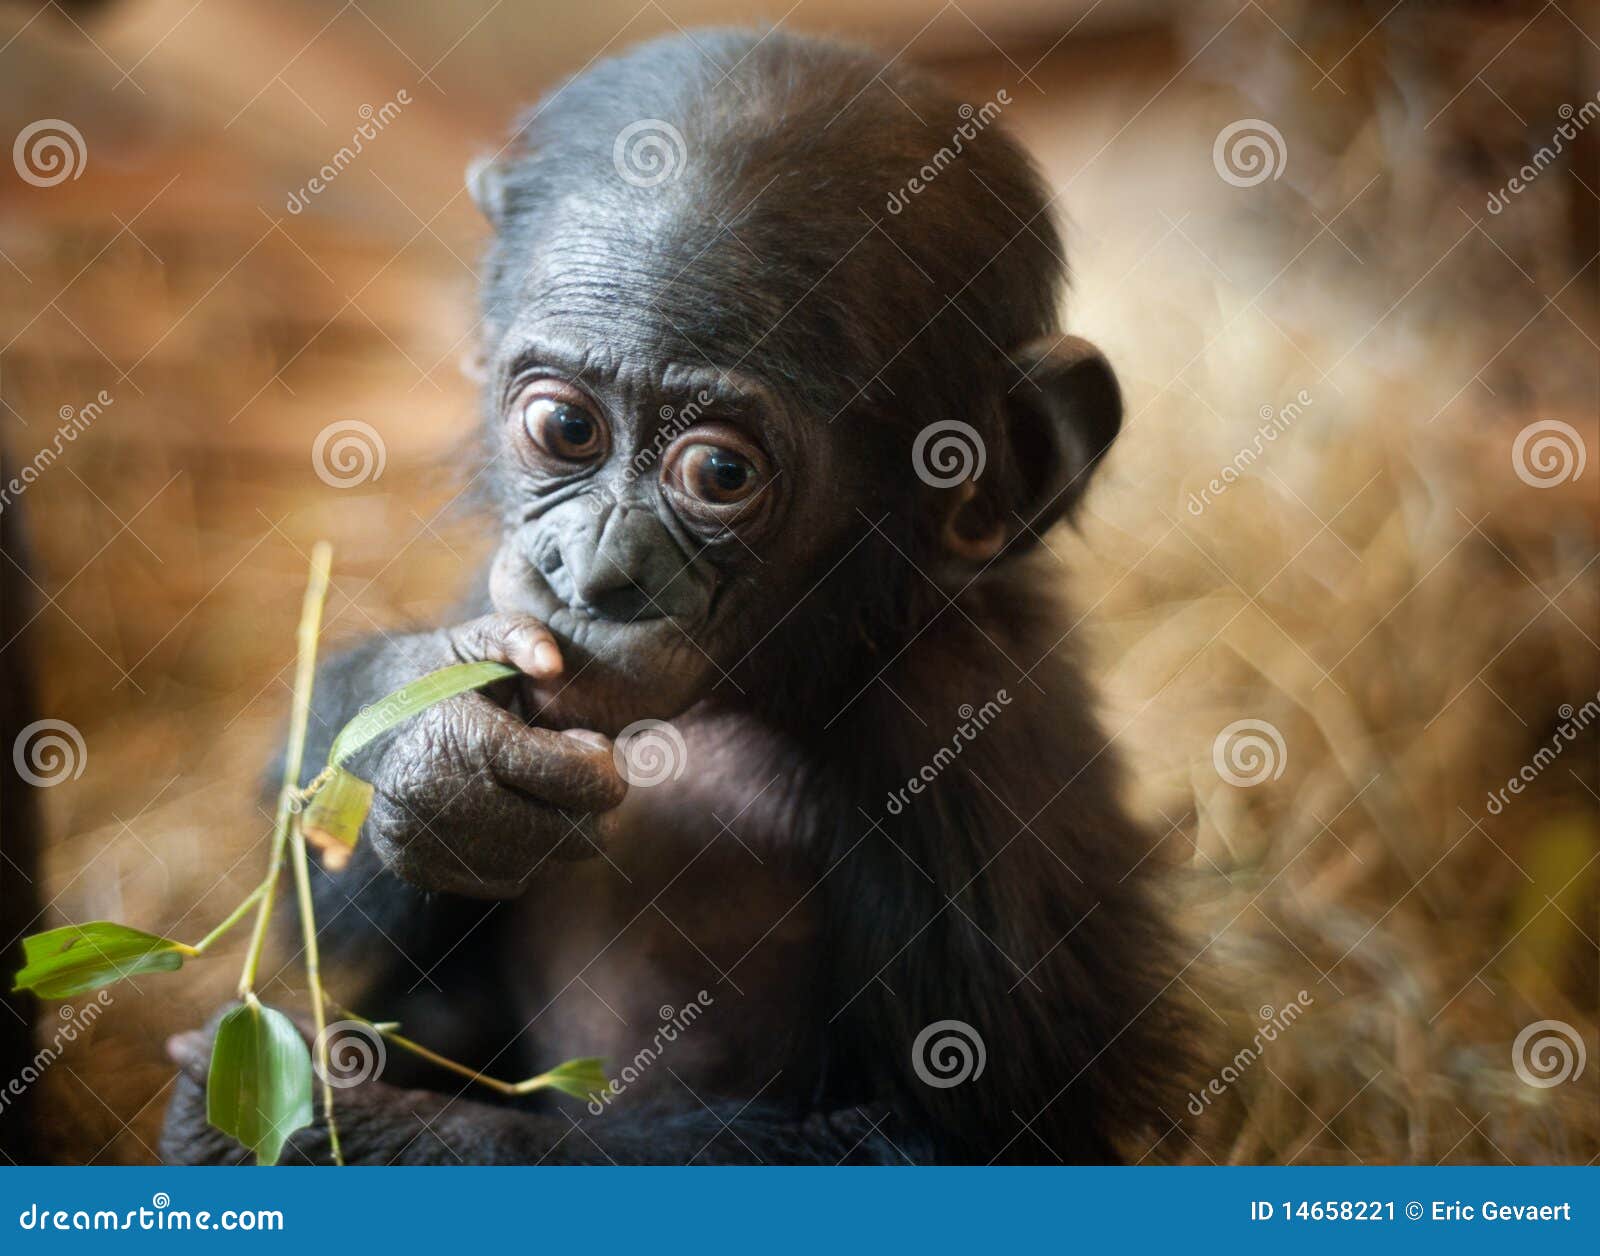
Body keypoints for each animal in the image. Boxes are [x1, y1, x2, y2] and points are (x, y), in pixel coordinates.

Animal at [160, 27, 1193, 1166]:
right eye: (565, 425)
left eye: (720, 474)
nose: (593, 571)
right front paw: (425, 742)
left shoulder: (969, 756)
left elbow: (952, 1130)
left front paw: (340, 1125)